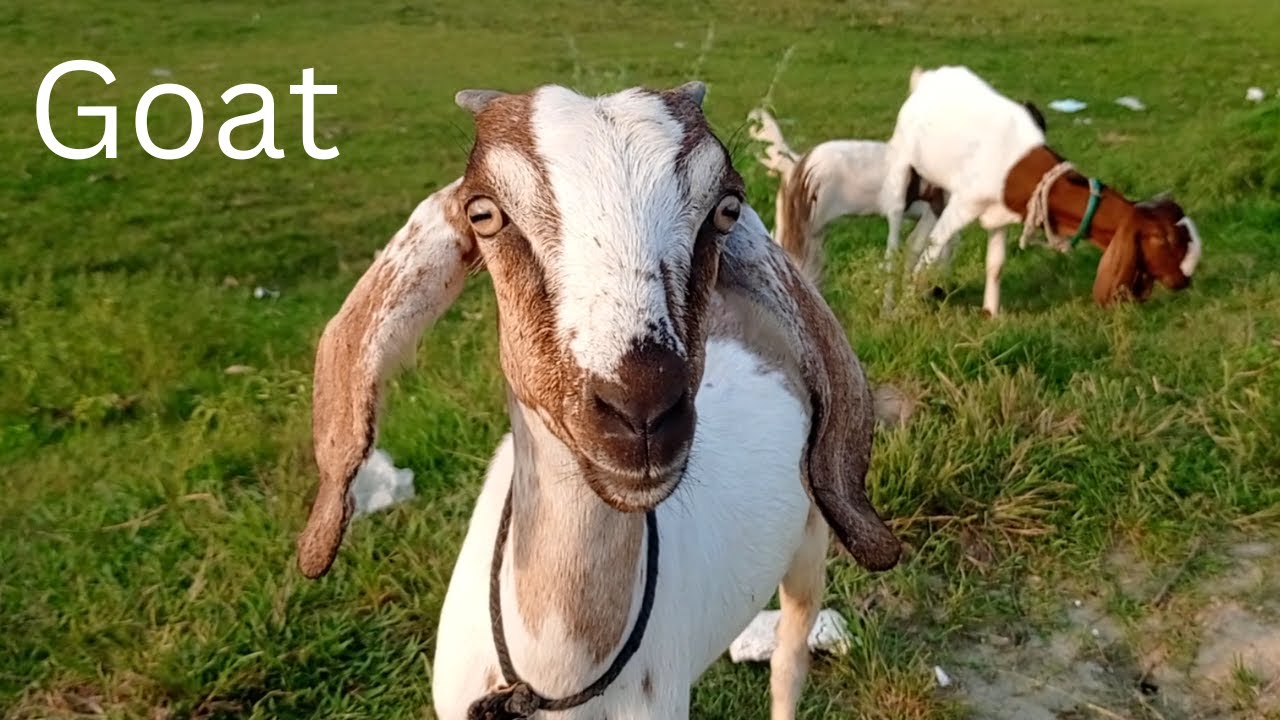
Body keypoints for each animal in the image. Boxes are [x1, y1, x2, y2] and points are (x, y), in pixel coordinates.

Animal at [295, 82, 901, 720]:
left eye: (726, 209)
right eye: (484, 214)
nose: (642, 411)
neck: (557, 675)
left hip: (811, 547)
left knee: (788, 664)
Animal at [882, 65, 1203, 316]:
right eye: (1164, 239)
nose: (1187, 278)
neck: (1018, 164)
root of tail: (927, 78)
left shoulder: (998, 213)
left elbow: (995, 264)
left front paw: (991, 315)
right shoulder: (965, 204)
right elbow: (932, 252)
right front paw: (906, 309)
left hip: (941, 192)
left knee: (914, 242)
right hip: (903, 168)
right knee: (896, 241)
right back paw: (889, 307)